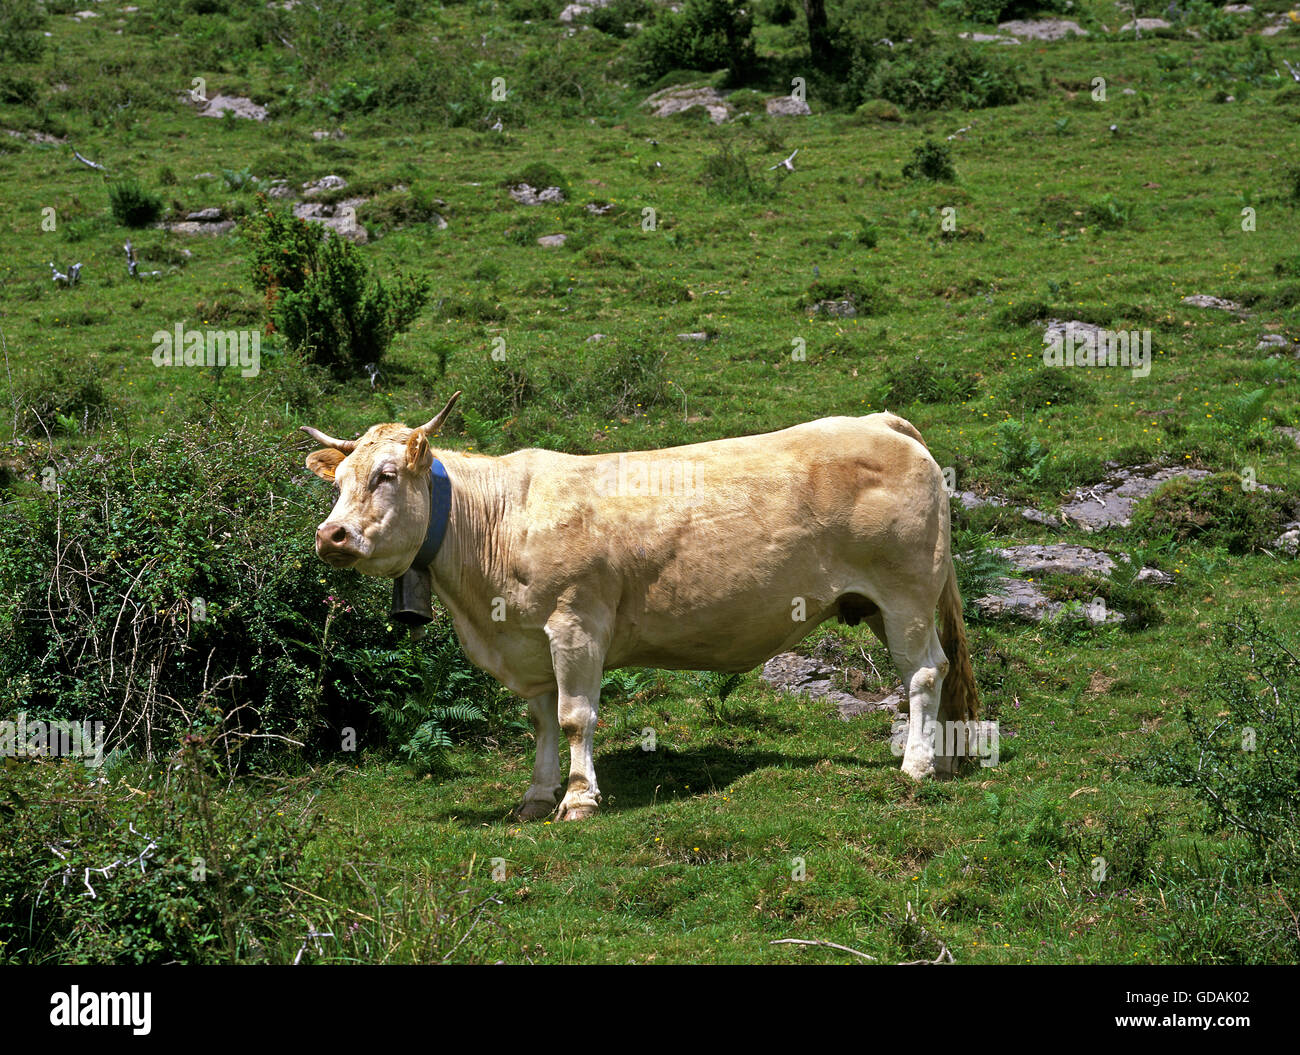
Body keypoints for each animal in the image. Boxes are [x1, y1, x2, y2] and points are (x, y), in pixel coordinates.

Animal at [302, 393, 980, 821]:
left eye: (387, 475)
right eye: (339, 482)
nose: (330, 535)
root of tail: (879, 421)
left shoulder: (575, 624)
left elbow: (576, 717)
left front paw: (578, 799)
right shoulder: (527, 643)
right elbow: (542, 721)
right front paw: (537, 795)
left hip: (906, 596)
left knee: (924, 673)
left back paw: (917, 766)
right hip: (880, 603)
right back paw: (943, 762)